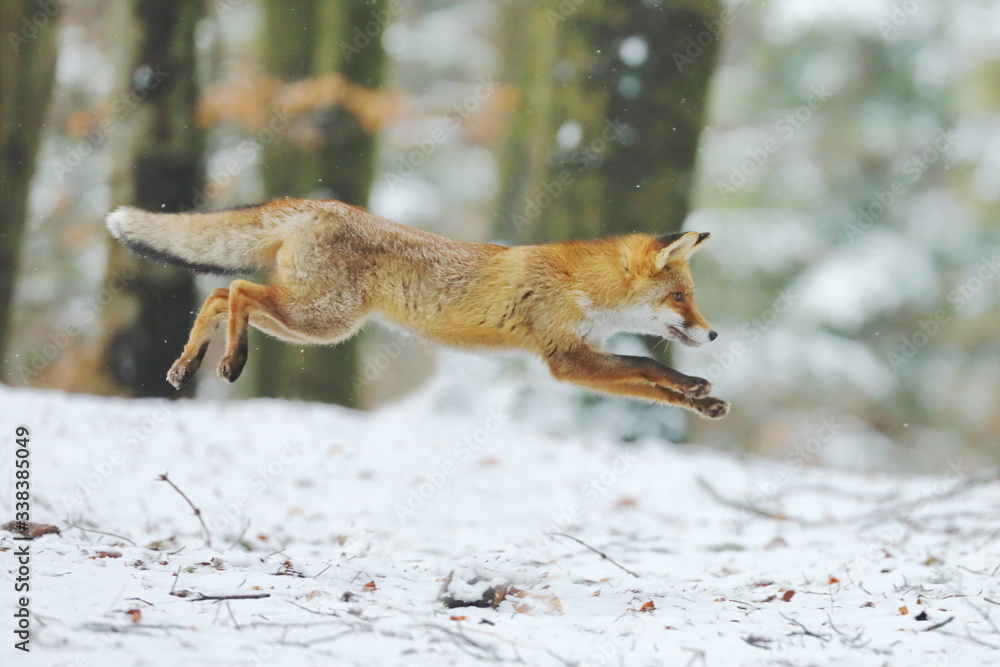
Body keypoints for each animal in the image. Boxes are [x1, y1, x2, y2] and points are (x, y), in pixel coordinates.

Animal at [105, 198, 729, 419]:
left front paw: (700, 400)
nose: (714, 334)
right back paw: (231, 361)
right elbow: (647, 365)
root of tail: (318, 203)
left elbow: (650, 382)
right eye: (681, 298)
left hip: (316, 325)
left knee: (216, 295)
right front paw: (693, 385)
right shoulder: (563, 358)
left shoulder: (580, 354)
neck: (580, 286)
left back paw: (188, 364)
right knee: (233, 289)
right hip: (322, 320)